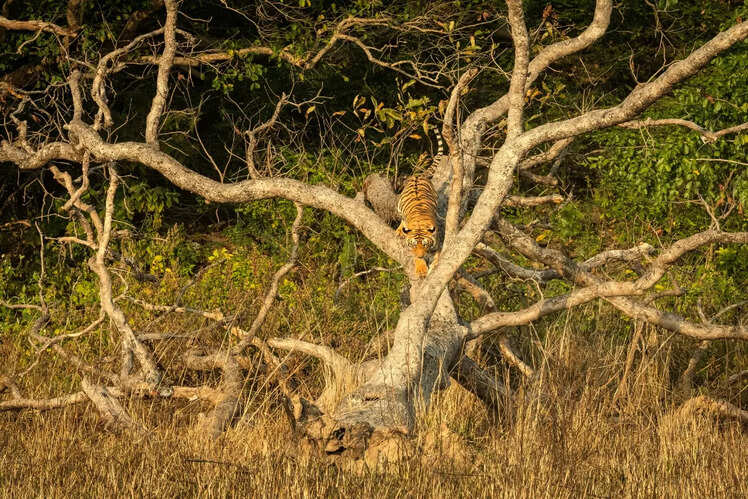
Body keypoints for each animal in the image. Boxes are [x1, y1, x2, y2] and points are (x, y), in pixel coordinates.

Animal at [396, 126, 444, 277]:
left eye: (425, 244)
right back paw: (399, 230)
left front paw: (434, 264)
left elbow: (439, 253)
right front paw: (422, 268)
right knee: (401, 220)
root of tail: (419, 175)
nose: (421, 255)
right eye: (413, 245)